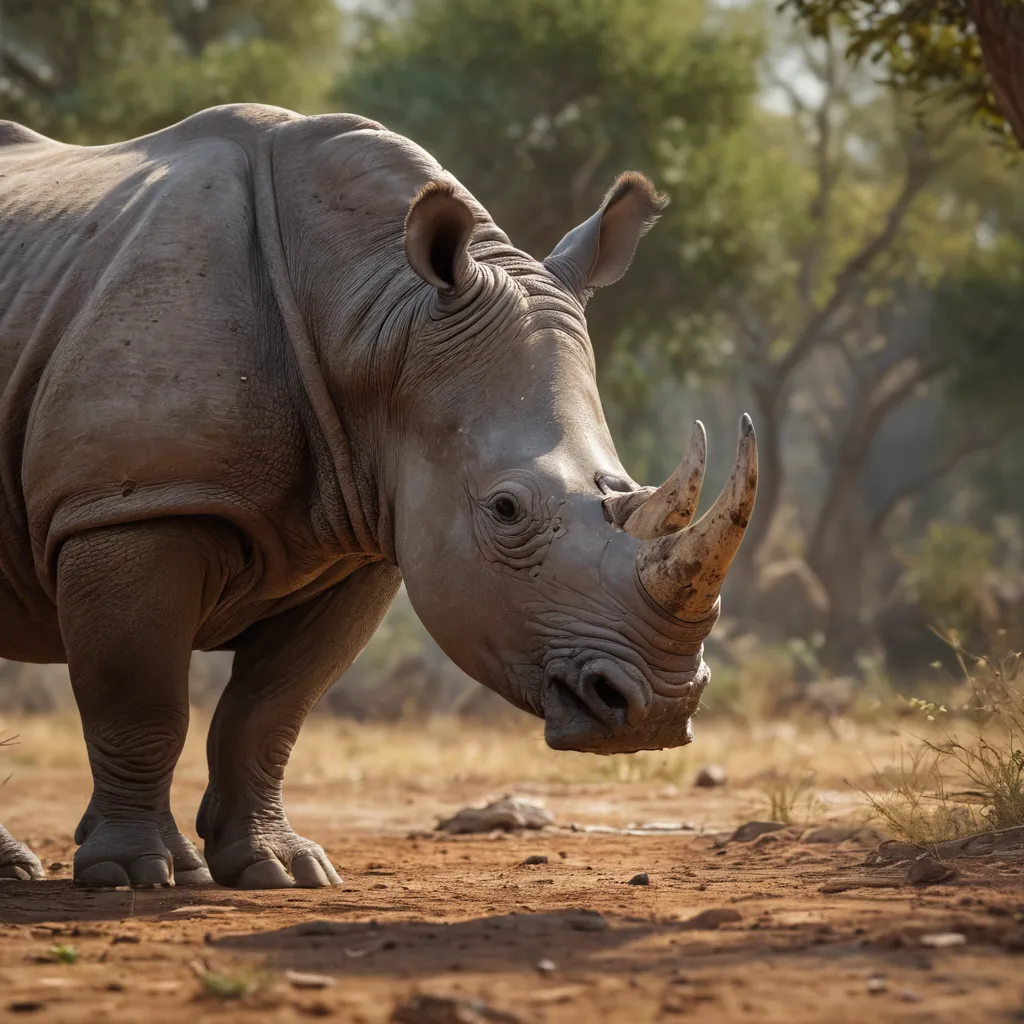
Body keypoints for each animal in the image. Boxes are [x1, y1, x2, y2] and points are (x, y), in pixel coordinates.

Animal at [0, 104, 756, 888]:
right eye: (506, 510)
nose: (660, 710)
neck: (377, 320)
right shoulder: (128, 506)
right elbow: (140, 703)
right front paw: (131, 876)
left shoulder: (359, 545)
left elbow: (271, 711)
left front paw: (282, 869)